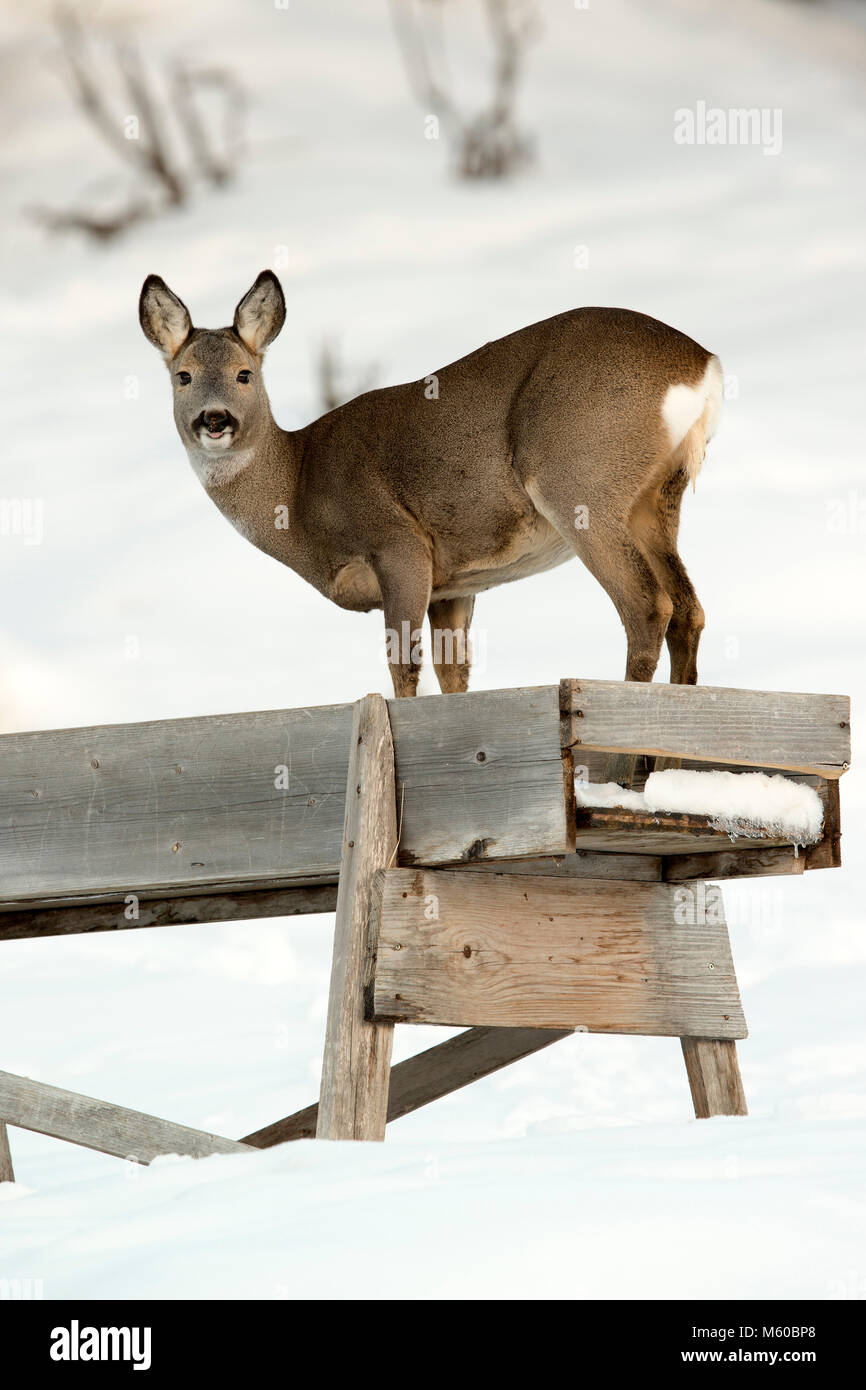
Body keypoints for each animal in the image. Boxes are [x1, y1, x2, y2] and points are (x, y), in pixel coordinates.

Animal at [139, 270, 722, 711]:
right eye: (183, 376)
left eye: (244, 374)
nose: (215, 420)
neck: (299, 490)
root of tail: (703, 366)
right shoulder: (454, 585)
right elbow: (454, 677)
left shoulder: (399, 544)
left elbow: (403, 669)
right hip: (656, 498)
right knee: (689, 609)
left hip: (576, 478)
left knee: (648, 604)